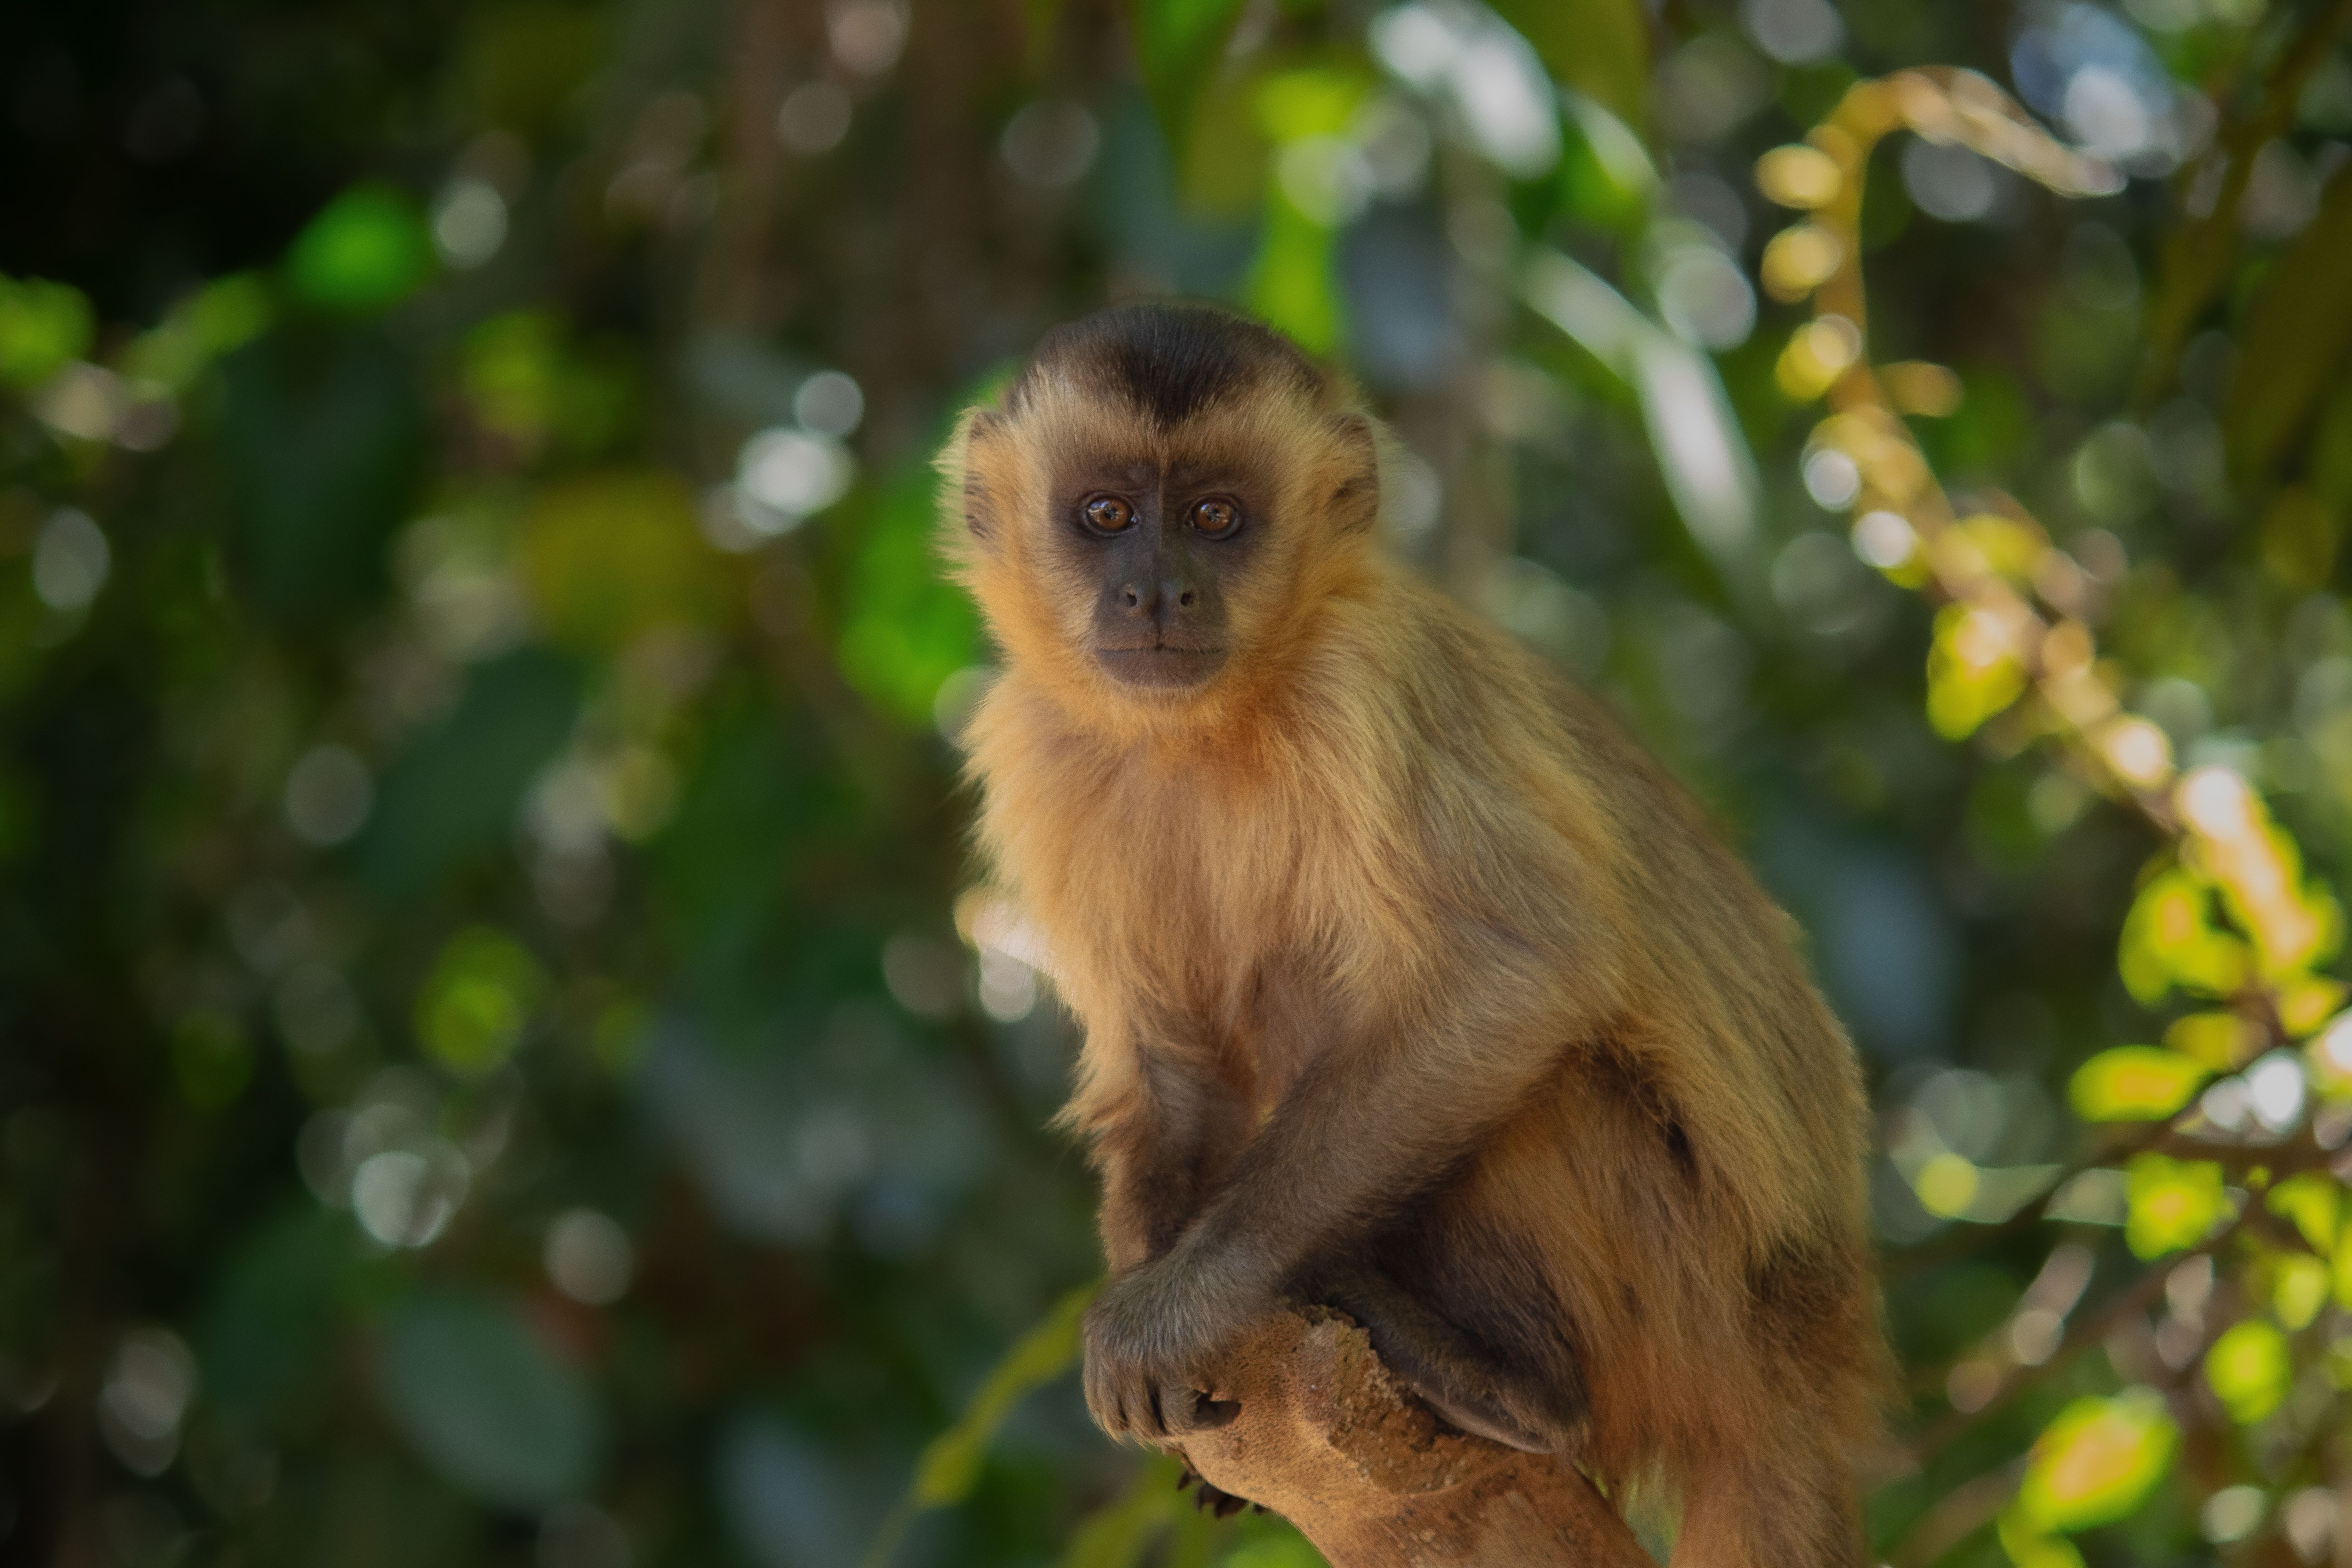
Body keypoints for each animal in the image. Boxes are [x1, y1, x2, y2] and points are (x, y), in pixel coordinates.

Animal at [939, 302, 1890, 1566]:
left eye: (1214, 518)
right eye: (1105, 516)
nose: (1157, 593)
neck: (1208, 726)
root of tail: (1817, 1350)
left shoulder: (1365, 687)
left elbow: (1515, 975)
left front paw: (1185, 1305)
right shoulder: (1033, 748)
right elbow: (1169, 1066)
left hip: (1703, 1311)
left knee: (1542, 1074)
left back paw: (1518, 1389)